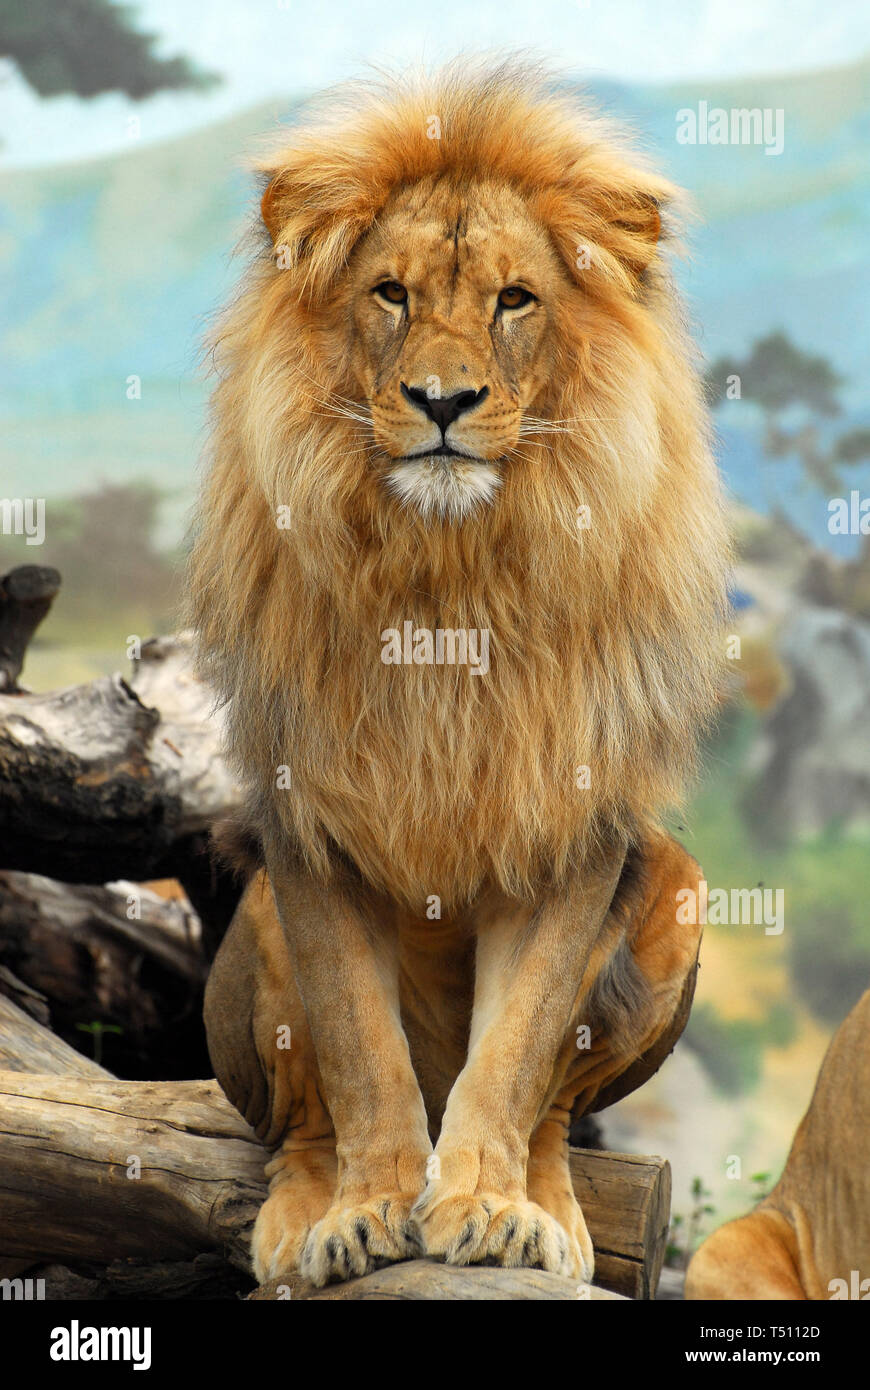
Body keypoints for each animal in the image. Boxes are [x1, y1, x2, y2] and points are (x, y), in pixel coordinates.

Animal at [189, 60, 730, 1288]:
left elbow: (519, 1047)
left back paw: (552, 1210)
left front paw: (486, 1203)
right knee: (301, 1119)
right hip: (255, 915)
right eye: (390, 294)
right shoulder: (309, 818)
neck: (450, 581)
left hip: (678, 887)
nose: (443, 402)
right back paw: (302, 1216)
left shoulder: (570, 824)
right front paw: (370, 1207)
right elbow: (361, 1052)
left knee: (554, 1105)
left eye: (514, 301)